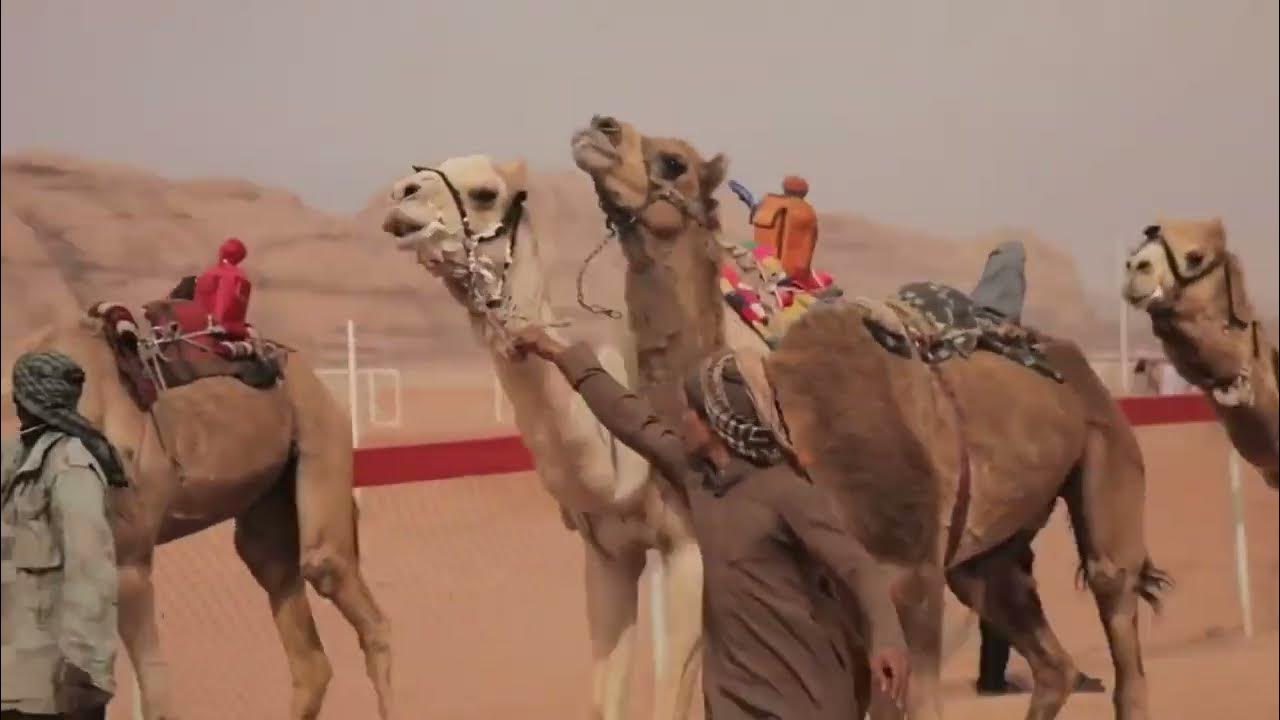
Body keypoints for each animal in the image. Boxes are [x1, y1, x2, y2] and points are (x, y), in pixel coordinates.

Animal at [9, 321, 393, 719]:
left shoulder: (126, 558)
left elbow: (150, 690)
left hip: (320, 431)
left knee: (335, 576)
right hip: (266, 495)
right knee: (295, 619)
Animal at [571, 115, 1168, 720]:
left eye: (674, 162)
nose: (599, 128)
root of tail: (1077, 367)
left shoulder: (908, 574)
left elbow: (918, 702)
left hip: (1107, 456)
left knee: (1116, 610)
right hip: (985, 556)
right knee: (1048, 658)